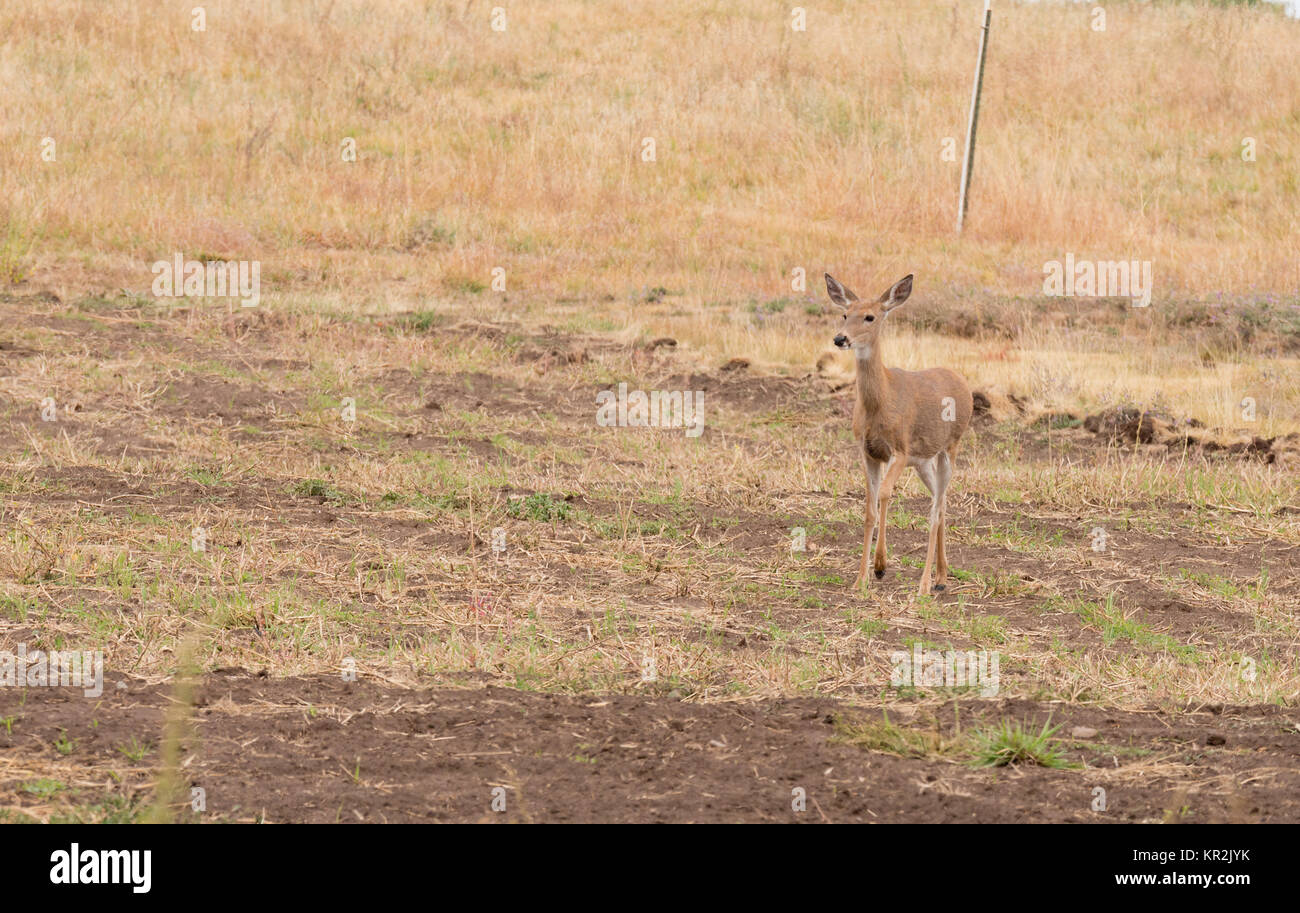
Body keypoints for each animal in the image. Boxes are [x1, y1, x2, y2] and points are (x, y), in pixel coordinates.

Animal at [825, 272, 972, 598]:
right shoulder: (867, 452)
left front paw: (880, 566)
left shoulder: (900, 449)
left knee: (935, 508)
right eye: (845, 314)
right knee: (941, 503)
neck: (881, 401)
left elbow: (885, 494)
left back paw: (924, 585)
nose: (840, 338)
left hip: (950, 447)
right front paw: (860, 579)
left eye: (870, 316)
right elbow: (868, 508)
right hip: (924, 461)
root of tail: (962, 381)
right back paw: (941, 577)